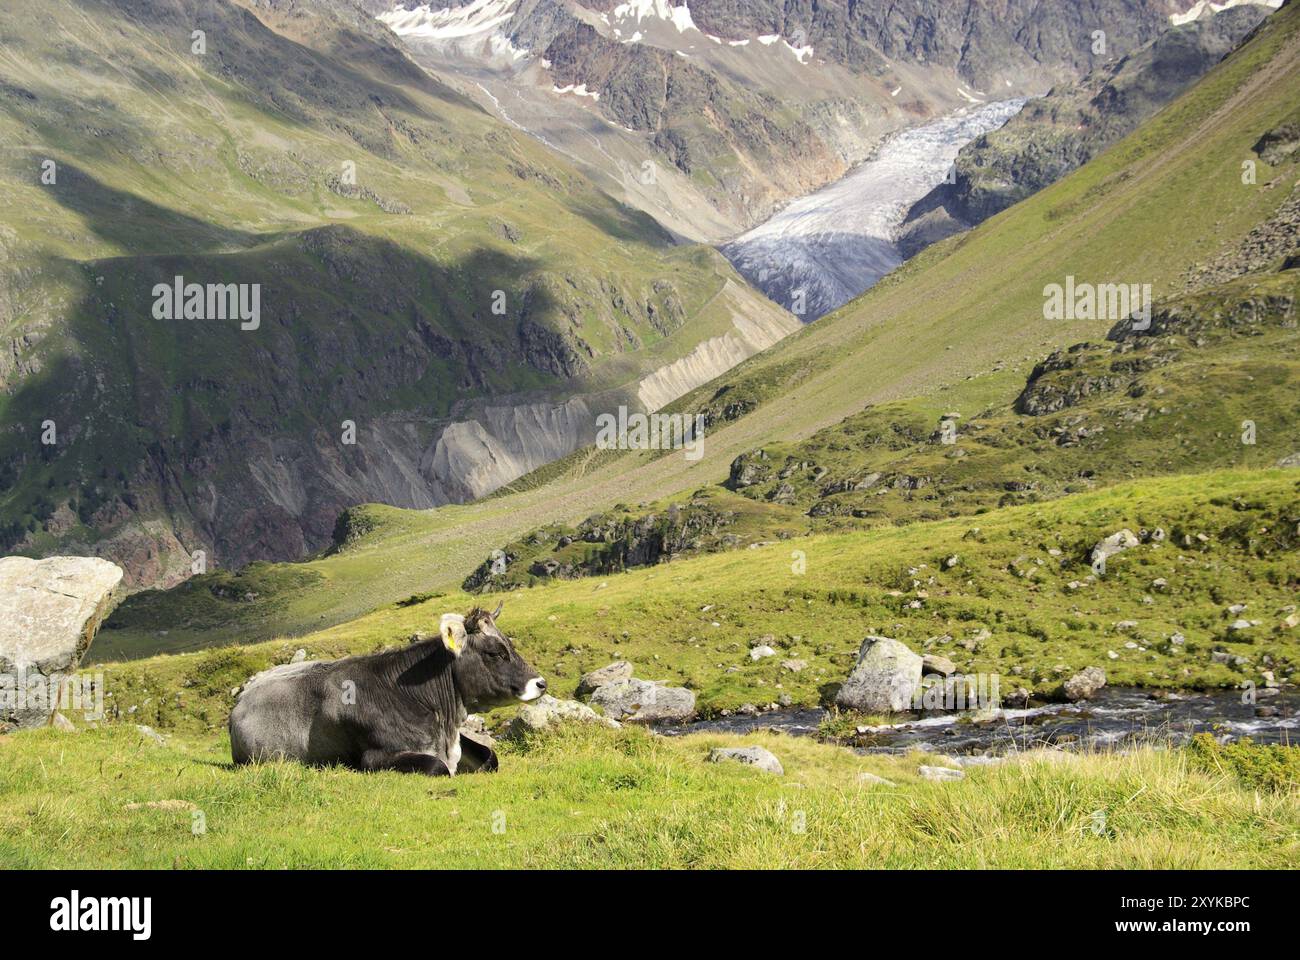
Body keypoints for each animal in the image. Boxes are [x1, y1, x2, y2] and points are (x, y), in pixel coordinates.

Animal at [228, 604, 544, 775]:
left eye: (509, 644)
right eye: (494, 653)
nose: (540, 683)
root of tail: (242, 698)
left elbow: (490, 757)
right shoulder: (374, 757)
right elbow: (438, 767)